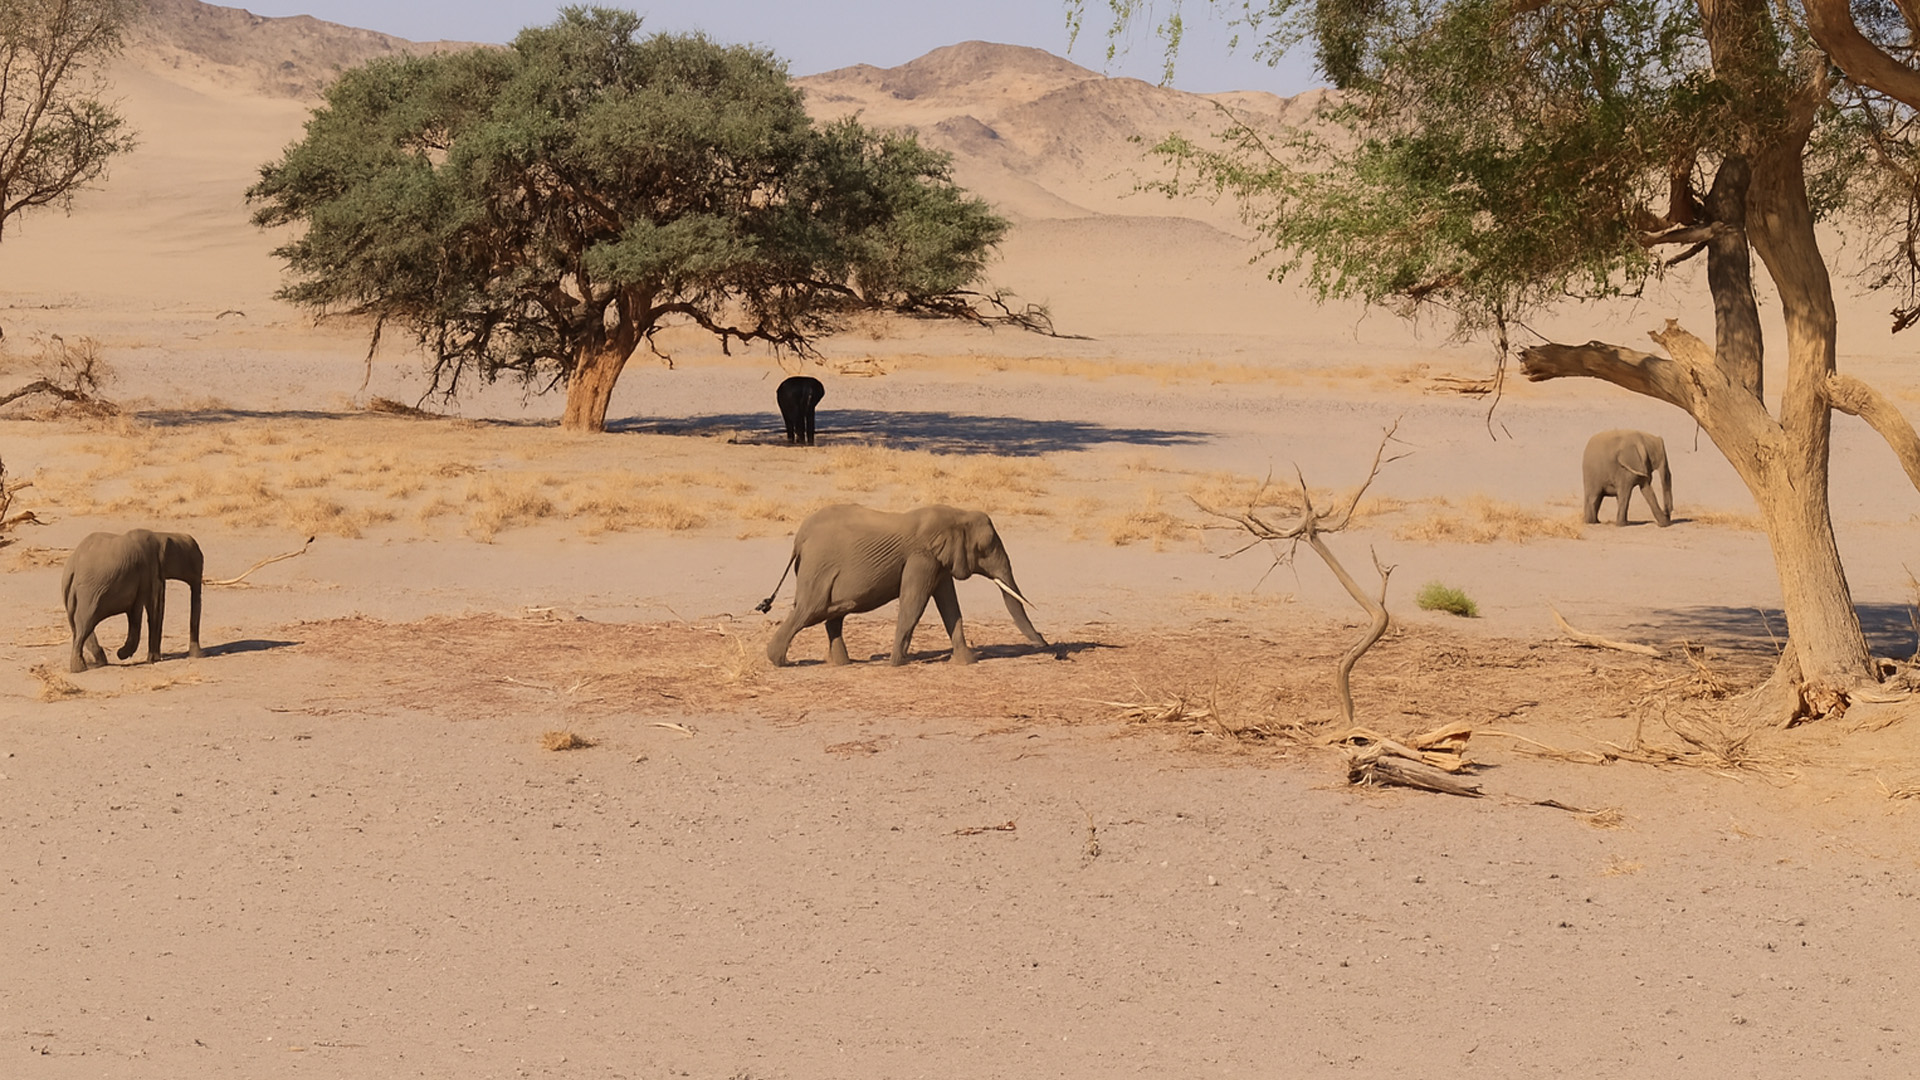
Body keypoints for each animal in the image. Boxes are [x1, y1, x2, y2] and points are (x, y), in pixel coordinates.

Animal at [61, 529, 204, 673]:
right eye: (192, 562)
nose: (198, 655)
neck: (161, 535)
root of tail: (72, 569)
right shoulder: (151, 570)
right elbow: (152, 608)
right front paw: (143, 658)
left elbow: (138, 611)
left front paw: (128, 655)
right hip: (89, 595)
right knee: (85, 624)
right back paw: (80, 668)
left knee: (79, 626)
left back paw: (99, 661)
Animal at [759, 503, 1048, 666]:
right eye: (986, 547)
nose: (1047, 645)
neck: (955, 515)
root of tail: (799, 538)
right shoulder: (922, 558)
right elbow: (913, 604)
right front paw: (896, 664)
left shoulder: (939, 563)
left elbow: (950, 606)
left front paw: (967, 661)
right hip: (818, 569)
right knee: (809, 610)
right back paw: (779, 661)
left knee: (831, 617)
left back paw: (843, 664)